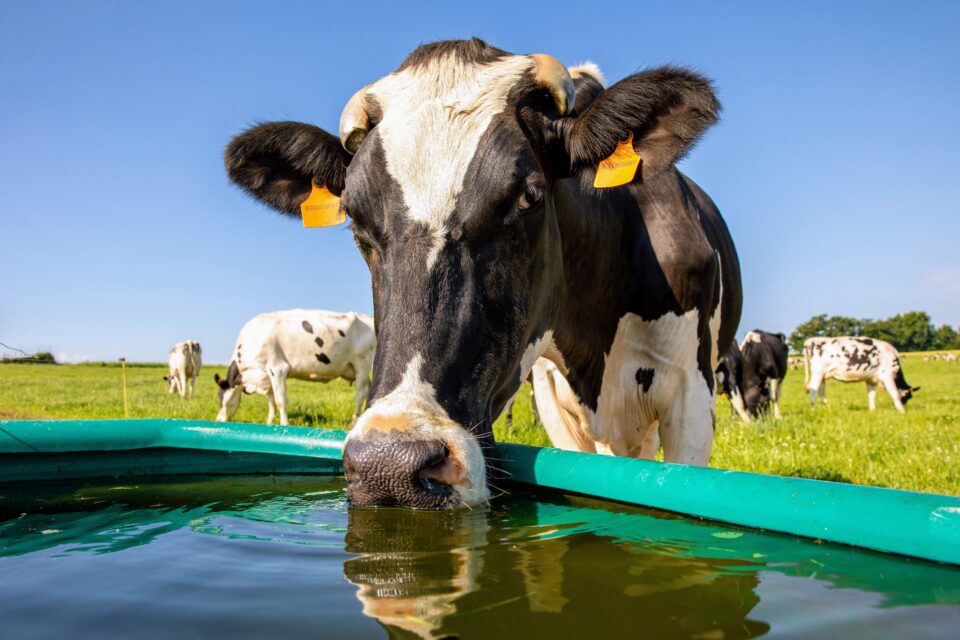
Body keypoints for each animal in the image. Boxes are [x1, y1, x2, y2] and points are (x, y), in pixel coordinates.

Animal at [214, 309, 376, 426]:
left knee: (360, 393)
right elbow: (271, 401)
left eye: (223, 400)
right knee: (369, 388)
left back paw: (353, 422)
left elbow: (280, 400)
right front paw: (269, 422)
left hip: (362, 363)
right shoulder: (266, 376)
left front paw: (284, 424)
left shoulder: (277, 369)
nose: (218, 420)